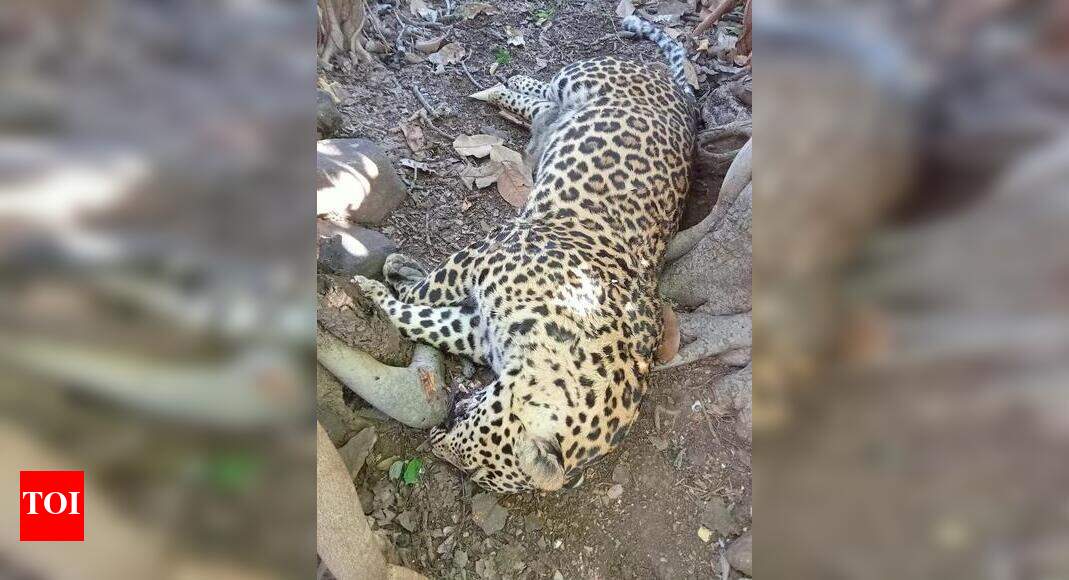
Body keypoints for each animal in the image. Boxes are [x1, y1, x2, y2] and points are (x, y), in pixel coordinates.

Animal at [355, 15, 697, 493]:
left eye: (478, 472)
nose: (436, 442)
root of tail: (684, 94)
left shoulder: (476, 330)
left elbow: (421, 320)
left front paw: (382, 288)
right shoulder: (483, 253)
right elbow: (429, 290)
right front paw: (380, 282)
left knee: (541, 108)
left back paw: (497, 91)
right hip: (585, 74)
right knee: (550, 85)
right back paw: (502, 83)